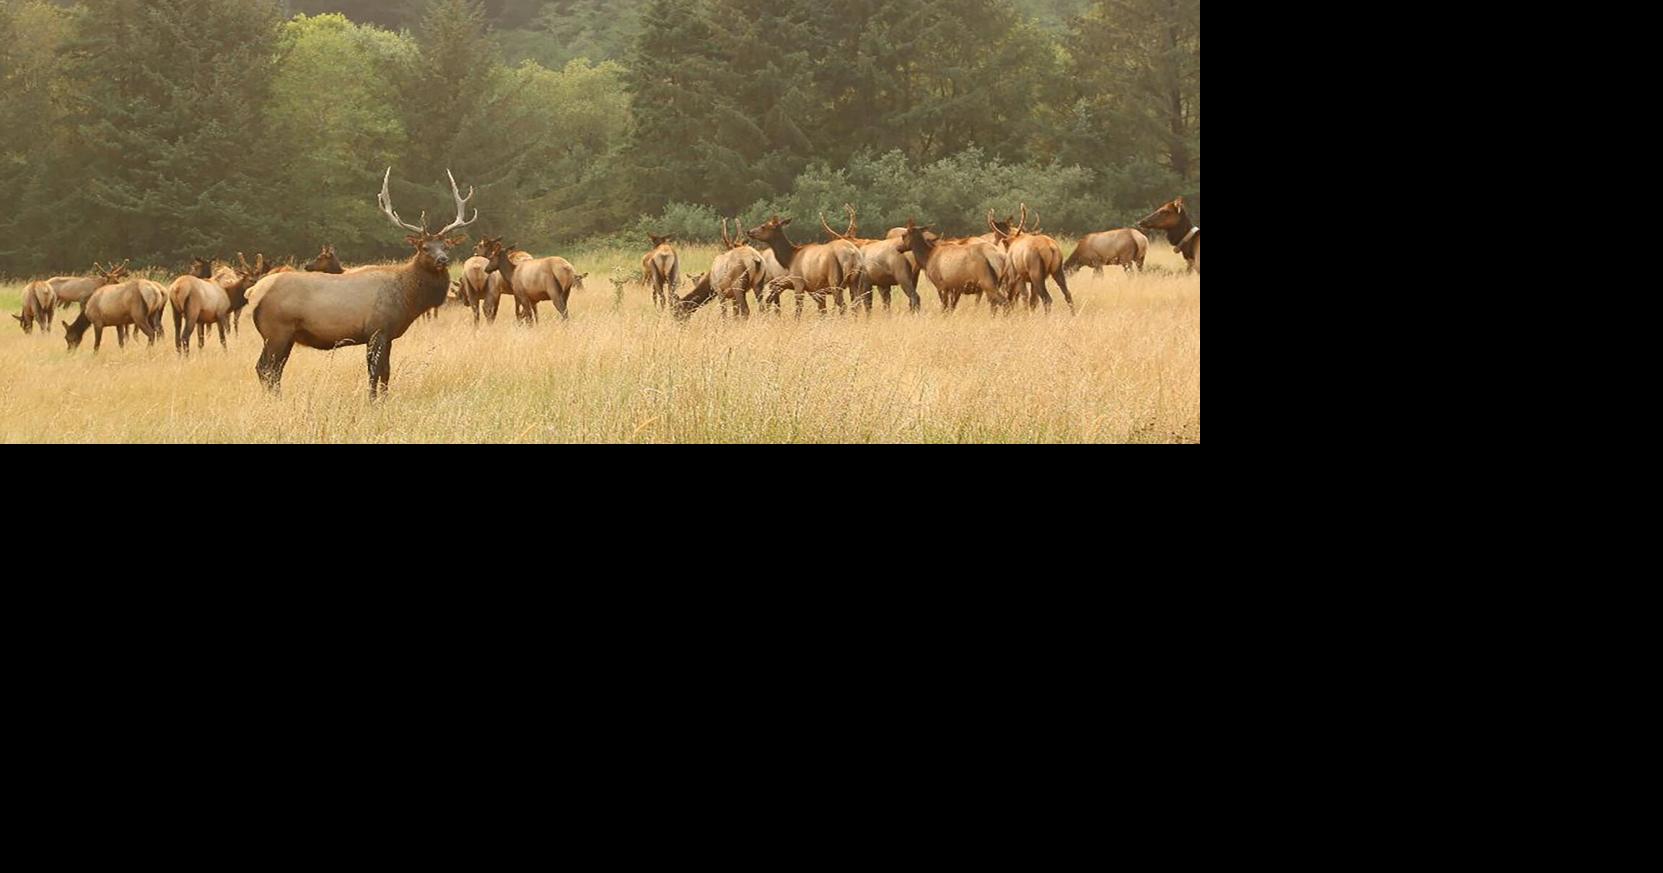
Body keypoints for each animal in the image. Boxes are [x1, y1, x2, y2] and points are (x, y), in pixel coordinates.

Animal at [250, 168, 479, 398]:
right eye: (424, 247)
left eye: (446, 246)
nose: (443, 259)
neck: (407, 299)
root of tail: (253, 293)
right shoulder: (377, 330)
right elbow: (374, 371)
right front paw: (372, 399)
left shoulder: (388, 336)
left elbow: (386, 371)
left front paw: (384, 399)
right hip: (276, 330)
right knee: (265, 368)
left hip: (285, 336)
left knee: (274, 369)